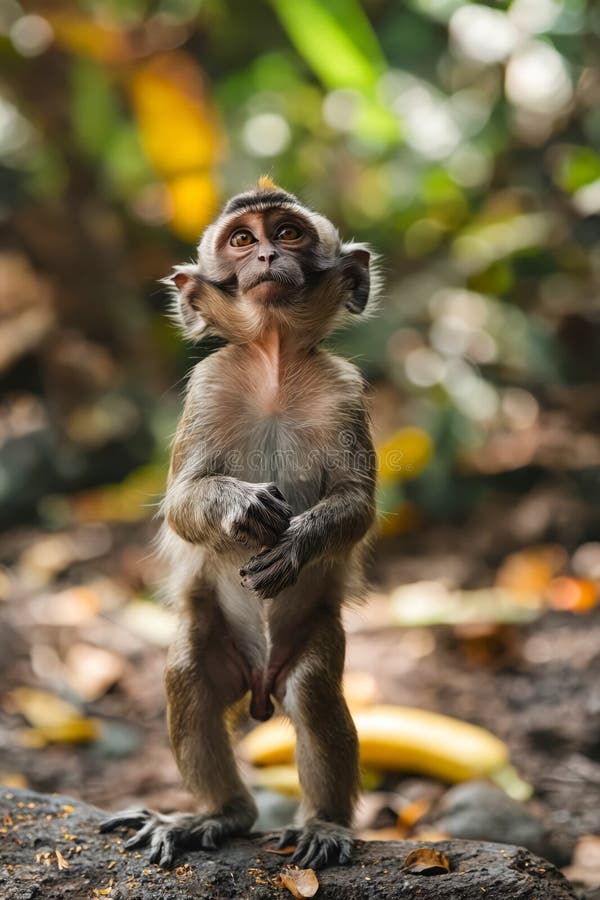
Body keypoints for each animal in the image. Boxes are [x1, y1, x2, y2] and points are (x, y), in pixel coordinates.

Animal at [100, 178, 379, 871]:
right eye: (242, 239)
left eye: (289, 234)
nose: (265, 258)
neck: (274, 364)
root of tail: (257, 688)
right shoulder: (207, 386)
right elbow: (180, 502)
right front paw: (242, 509)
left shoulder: (346, 391)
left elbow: (358, 504)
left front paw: (298, 542)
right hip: (213, 638)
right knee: (189, 679)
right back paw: (220, 814)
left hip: (314, 636)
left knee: (313, 694)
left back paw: (324, 824)